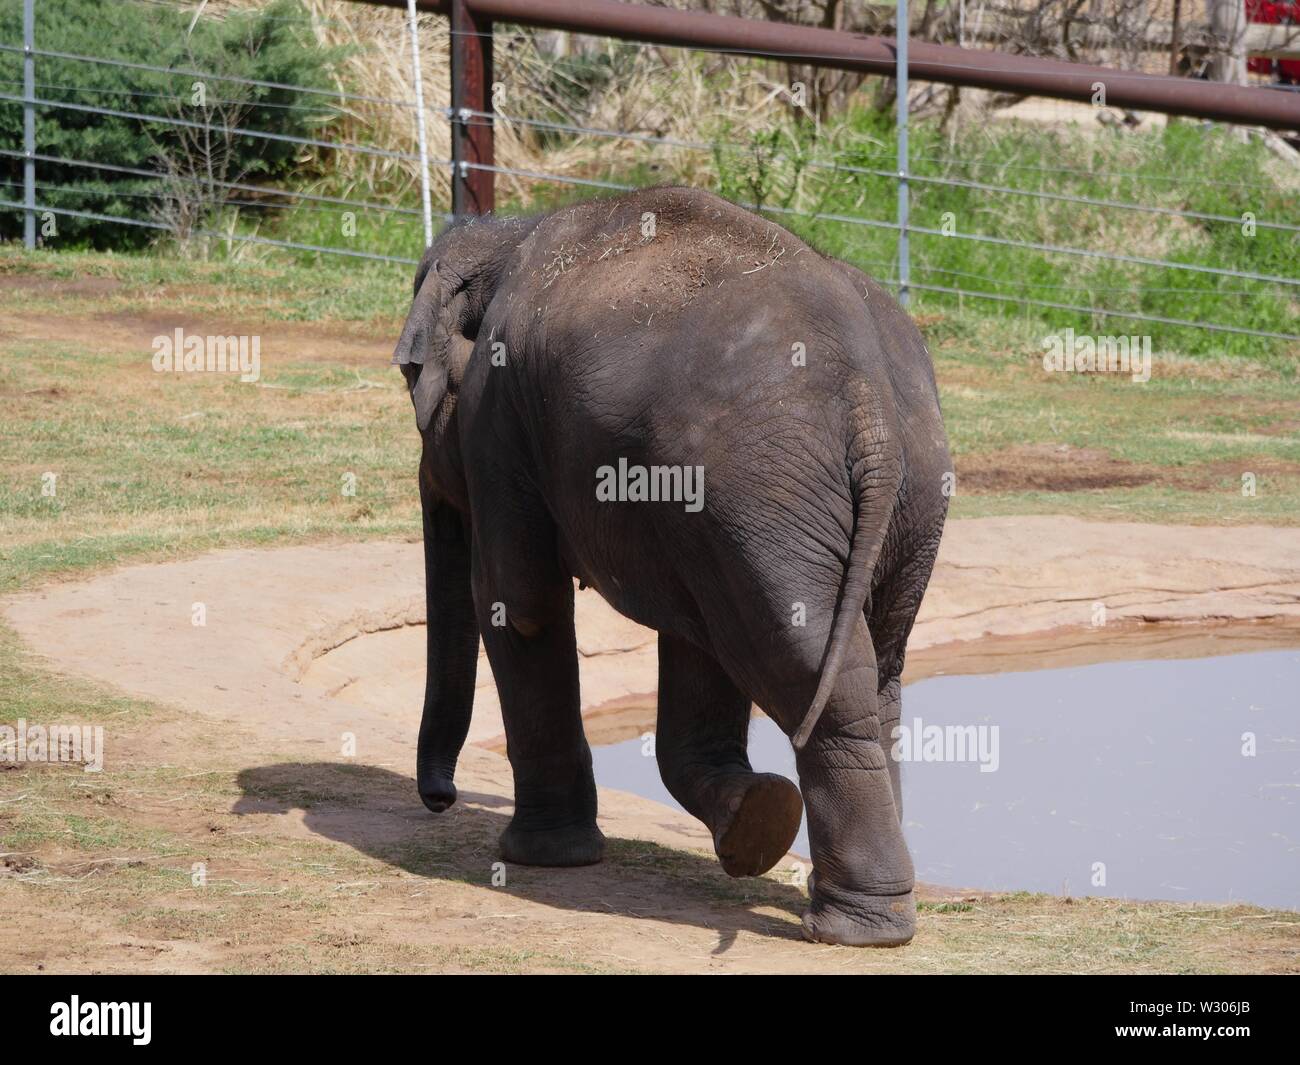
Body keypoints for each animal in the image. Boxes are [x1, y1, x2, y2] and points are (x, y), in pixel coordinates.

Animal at [391, 186, 950, 947]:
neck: (509, 232)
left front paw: (541, 857)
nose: (441, 797)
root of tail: (873, 404)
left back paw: (850, 927)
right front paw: (754, 820)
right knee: (872, 666)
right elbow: (692, 646)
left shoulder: (499, 415)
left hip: (767, 493)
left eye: (408, 375)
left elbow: (519, 601)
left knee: (806, 663)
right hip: (886, 503)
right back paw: (868, 906)